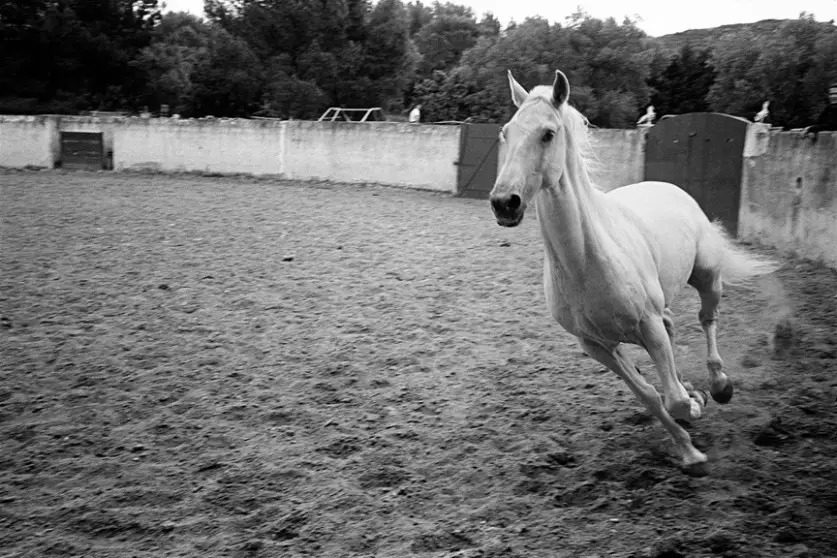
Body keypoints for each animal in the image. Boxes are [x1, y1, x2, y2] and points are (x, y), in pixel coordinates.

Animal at [490, 70, 776, 476]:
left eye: (548, 133)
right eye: (506, 132)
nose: (504, 203)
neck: (586, 264)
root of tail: (669, 187)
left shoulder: (647, 325)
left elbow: (672, 399)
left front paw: (695, 406)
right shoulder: (597, 346)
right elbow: (651, 396)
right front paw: (689, 451)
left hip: (707, 277)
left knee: (707, 319)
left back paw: (719, 384)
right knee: (676, 332)